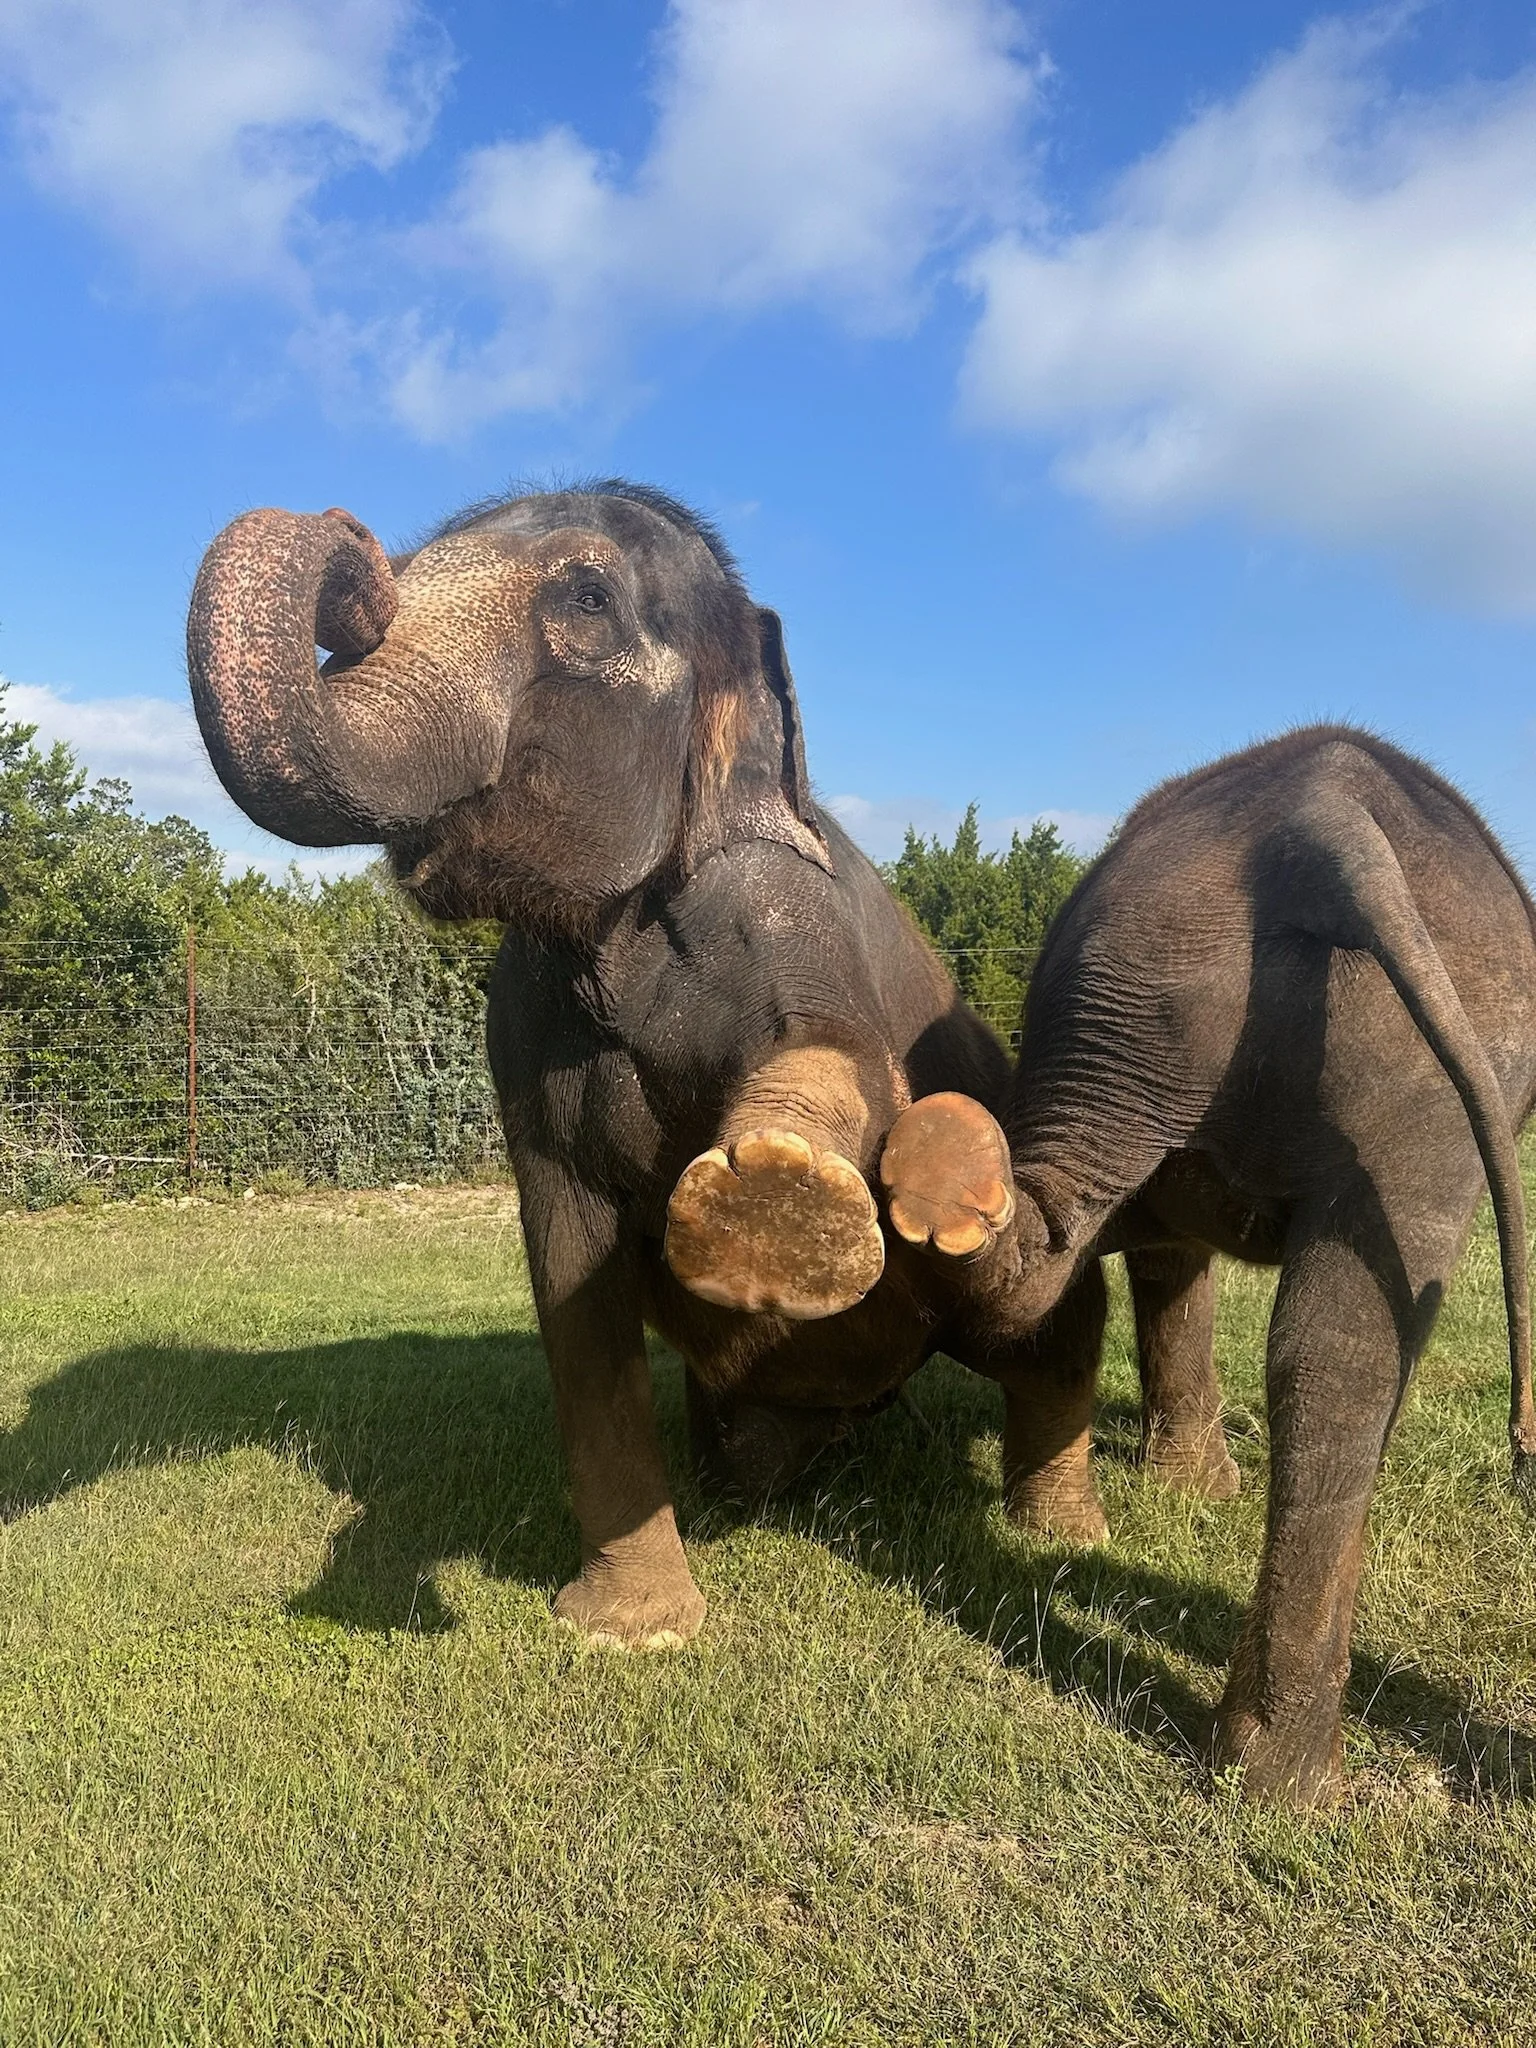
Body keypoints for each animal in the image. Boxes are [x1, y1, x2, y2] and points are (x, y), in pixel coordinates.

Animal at [186, 483, 1235, 1650]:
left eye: (588, 599)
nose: (350, 539)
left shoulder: (787, 907)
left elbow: (851, 1068)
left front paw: (771, 1192)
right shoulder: (522, 1033)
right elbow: (571, 1281)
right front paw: (629, 1629)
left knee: (1050, 1331)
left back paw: (1061, 1530)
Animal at [874, 726, 1536, 1804]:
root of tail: (1321, 823)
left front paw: (1192, 1488)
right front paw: (1200, 1491)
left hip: (1183, 1019)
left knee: (1323, 1340)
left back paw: (1274, 1776)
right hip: (1156, 1018)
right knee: (1333, 1342)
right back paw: (1287, 1781)